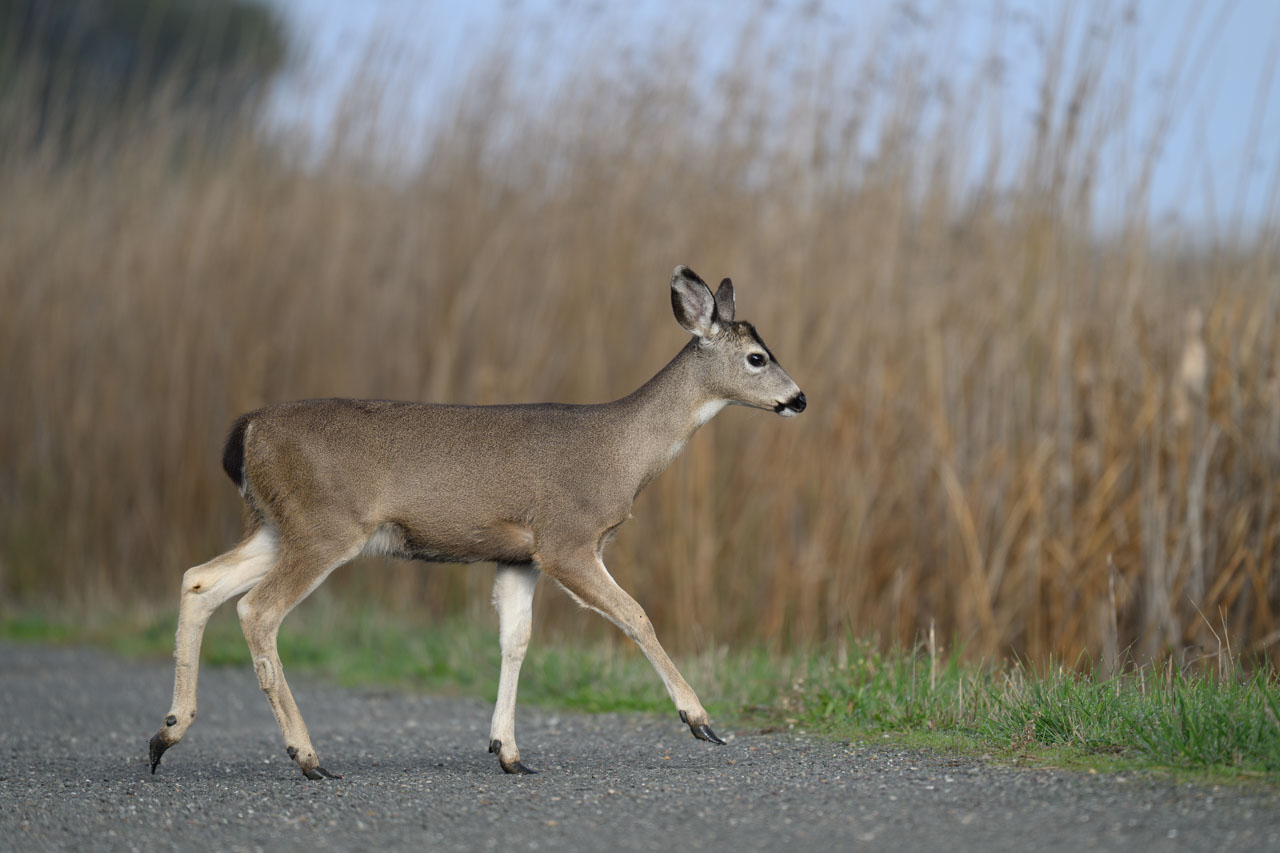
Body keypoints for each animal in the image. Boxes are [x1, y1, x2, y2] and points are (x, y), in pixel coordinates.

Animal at [147, 265, 806, 779]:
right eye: (757, 357)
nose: (799, 399)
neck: (623, 451)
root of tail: (246, 430)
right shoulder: (567, 539)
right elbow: (636, 615)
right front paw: (700, 720)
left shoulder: (517, 556)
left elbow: (515, 640)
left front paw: (508, 751)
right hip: (324, 524)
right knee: (257, 609)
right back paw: (306, 756)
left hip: (275, 524)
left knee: (200, 579)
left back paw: (166, 734)